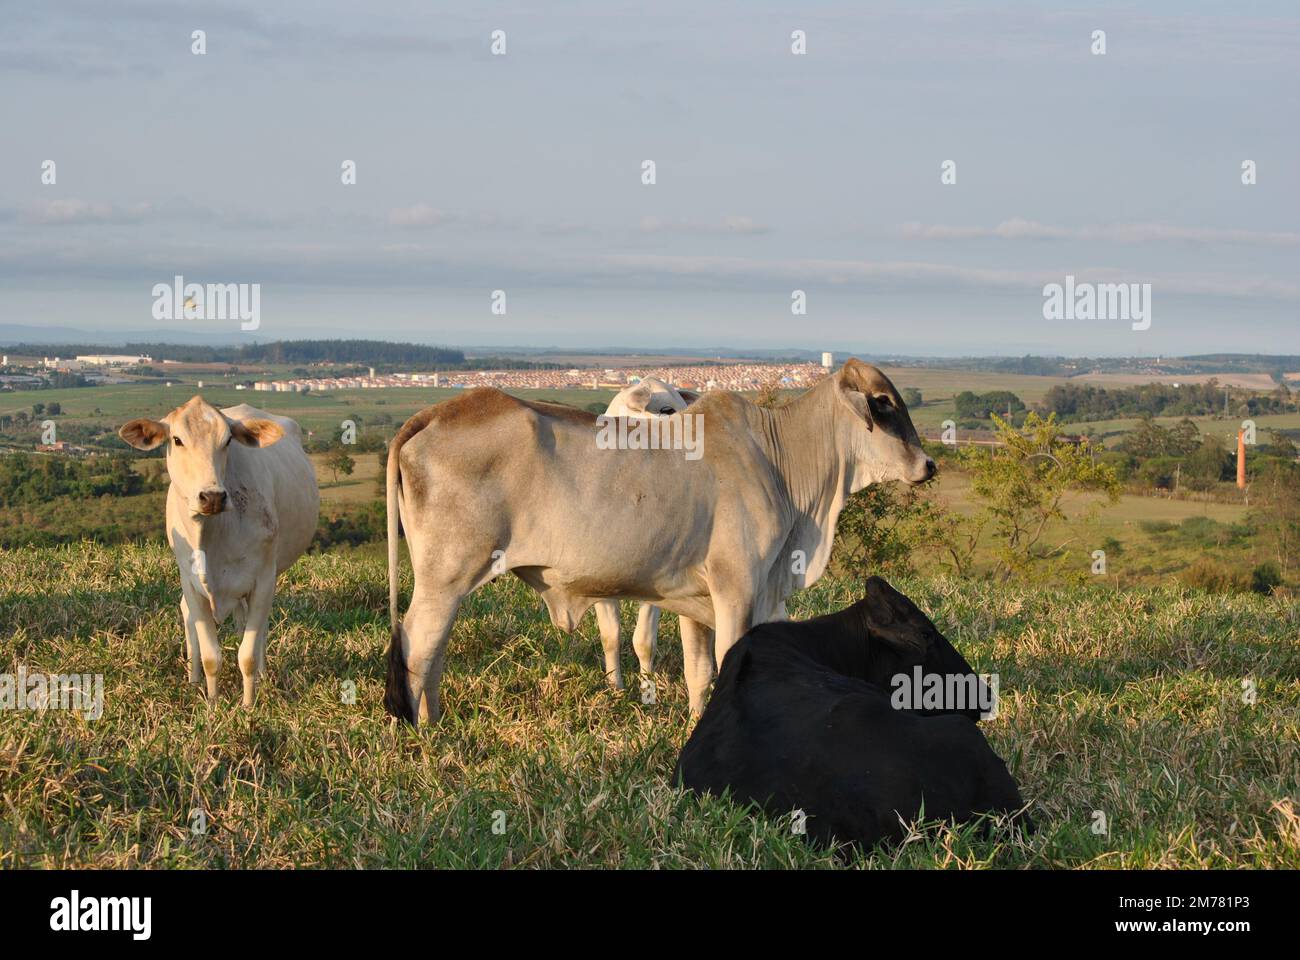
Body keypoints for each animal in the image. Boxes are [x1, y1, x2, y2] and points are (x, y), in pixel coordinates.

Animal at [119, 397, 319, 707]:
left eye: (227, 441)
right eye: (177, 440)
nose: (212, 496)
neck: (212, 536)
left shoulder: (263, 579)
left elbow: (248, 654)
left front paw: (248, 705)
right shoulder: (190, 581)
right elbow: (211, 654)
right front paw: (212, 703)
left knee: (255, 629)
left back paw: (262, 675)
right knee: (189, 615)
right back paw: (193, 679)